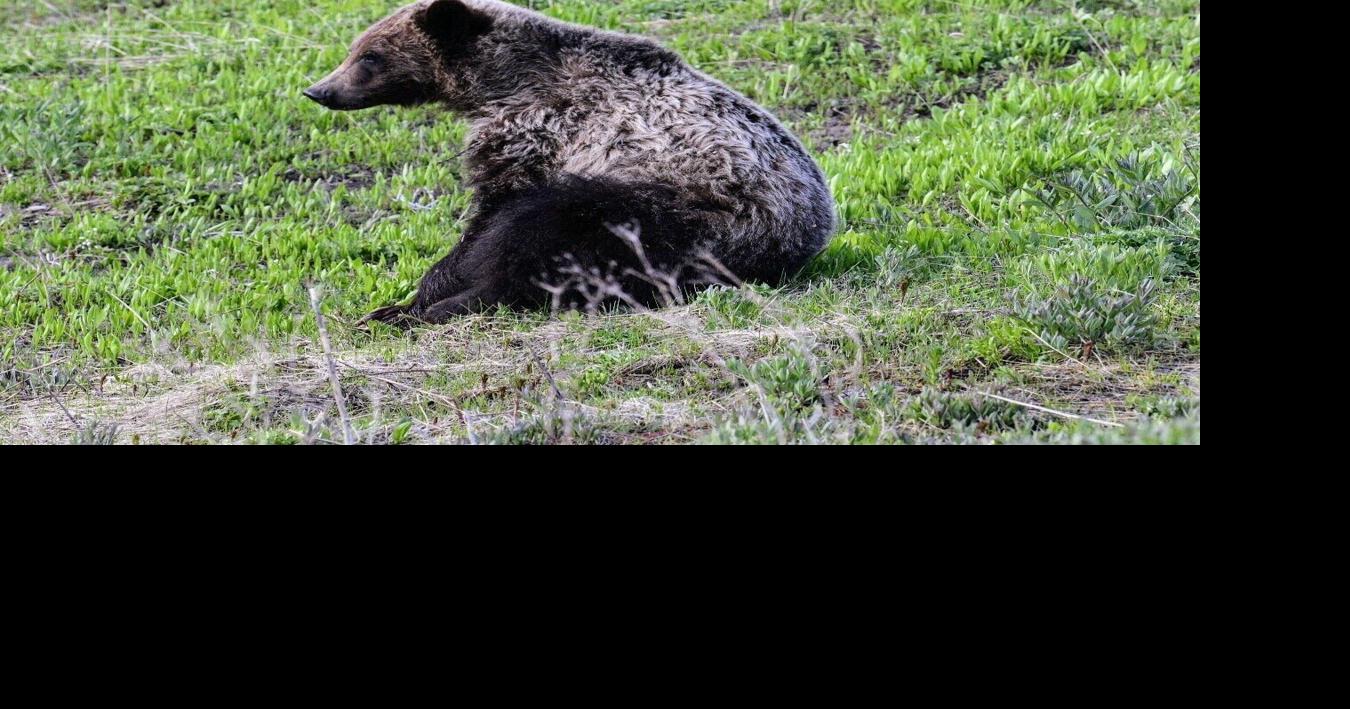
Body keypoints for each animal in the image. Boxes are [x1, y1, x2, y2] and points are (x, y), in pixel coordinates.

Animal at [304, 0, 835, 324]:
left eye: (369, 56)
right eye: (355, 49)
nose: (319, 90)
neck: (499, 84)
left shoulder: (539, 134)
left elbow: (491, 218)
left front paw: (422, 294)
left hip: (690, 214)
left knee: (550, 235)